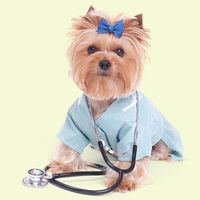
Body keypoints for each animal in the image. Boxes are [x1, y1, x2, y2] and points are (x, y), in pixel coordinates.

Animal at [48, 5, 183, 191]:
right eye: (91, 49)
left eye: (120, 51)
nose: (105, 62)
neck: (105, 95)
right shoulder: (74, 123)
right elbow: (69, 146)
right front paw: (63, 165)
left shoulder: (133, 133)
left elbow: (129, 161)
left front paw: (125, 180)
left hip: (162, 135)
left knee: (162, 149)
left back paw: (155, 154)